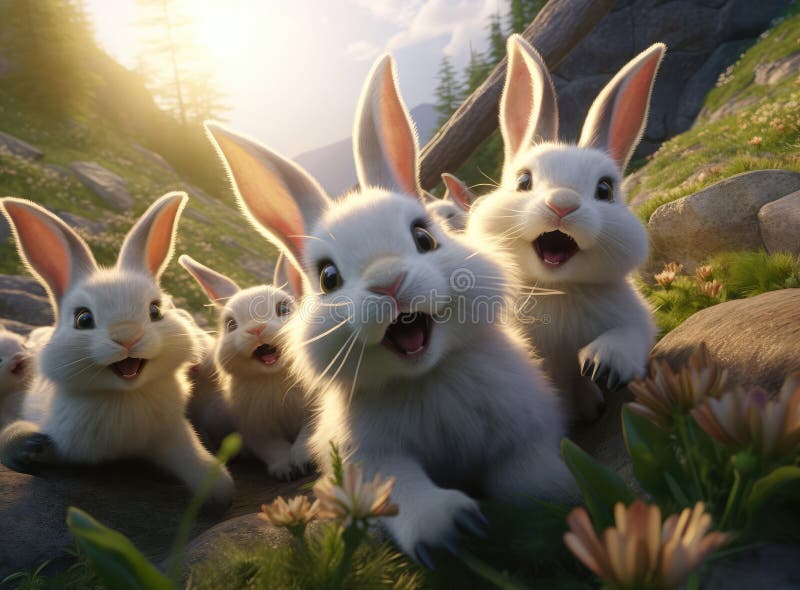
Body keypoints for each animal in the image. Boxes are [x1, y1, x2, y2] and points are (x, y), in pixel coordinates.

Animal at [0, 193, 234, 505]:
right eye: (83, 319)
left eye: (155, 310)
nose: (127, 336)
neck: (124, 396)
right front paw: (29, 446)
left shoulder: (171, 433)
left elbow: (203, 470)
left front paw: (218, 488)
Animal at [179, 254, 312, 480]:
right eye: (231, 324)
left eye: (284, 309)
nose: (257, 329)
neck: (274, 376)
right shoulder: (256, 429)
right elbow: (273, 449)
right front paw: (285, 471)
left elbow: (308, 436)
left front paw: (304, 462)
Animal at [204, 53, 574, 566]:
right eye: (328, 278)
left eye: (424, 237)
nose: (387, 283)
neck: (427, 377)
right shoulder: (371, 459)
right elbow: (403, 489)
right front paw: (450, 526)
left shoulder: (525, 432)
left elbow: (529, 476)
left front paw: (553, 508)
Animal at [467, 35, 661, 422]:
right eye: (523, 181)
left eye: (605, 190)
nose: (562, 203)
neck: (556, 289)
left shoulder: (637, 321)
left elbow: (629, 336)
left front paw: (602, 365)